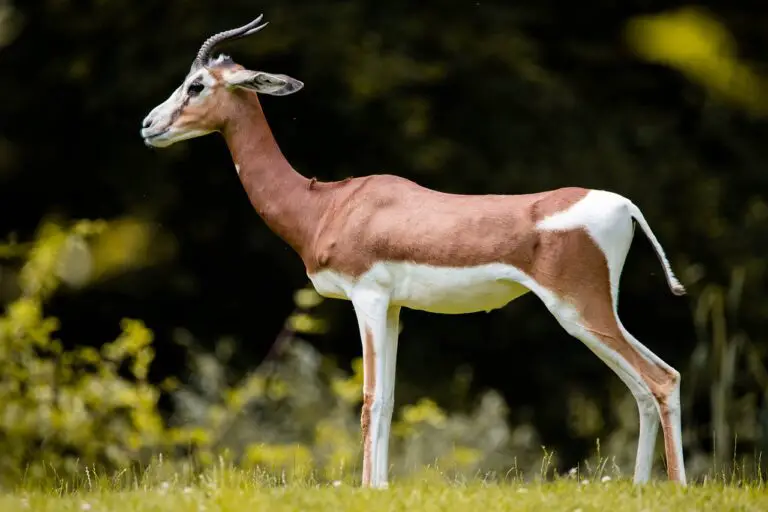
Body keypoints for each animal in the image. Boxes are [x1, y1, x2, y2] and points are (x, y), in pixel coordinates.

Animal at [141, 15, 688, 488]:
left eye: (196, 85)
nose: (148, 125)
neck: (326, 205)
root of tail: (623, 204)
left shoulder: (366, 298)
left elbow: (368, 400)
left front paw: (366, 488)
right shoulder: (395, 308)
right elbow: (387, 400)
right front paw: (381, 487)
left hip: (578, 310)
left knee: (658, 380)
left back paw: (674, 486)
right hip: (598, 311)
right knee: (650, 385)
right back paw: (640, 486)